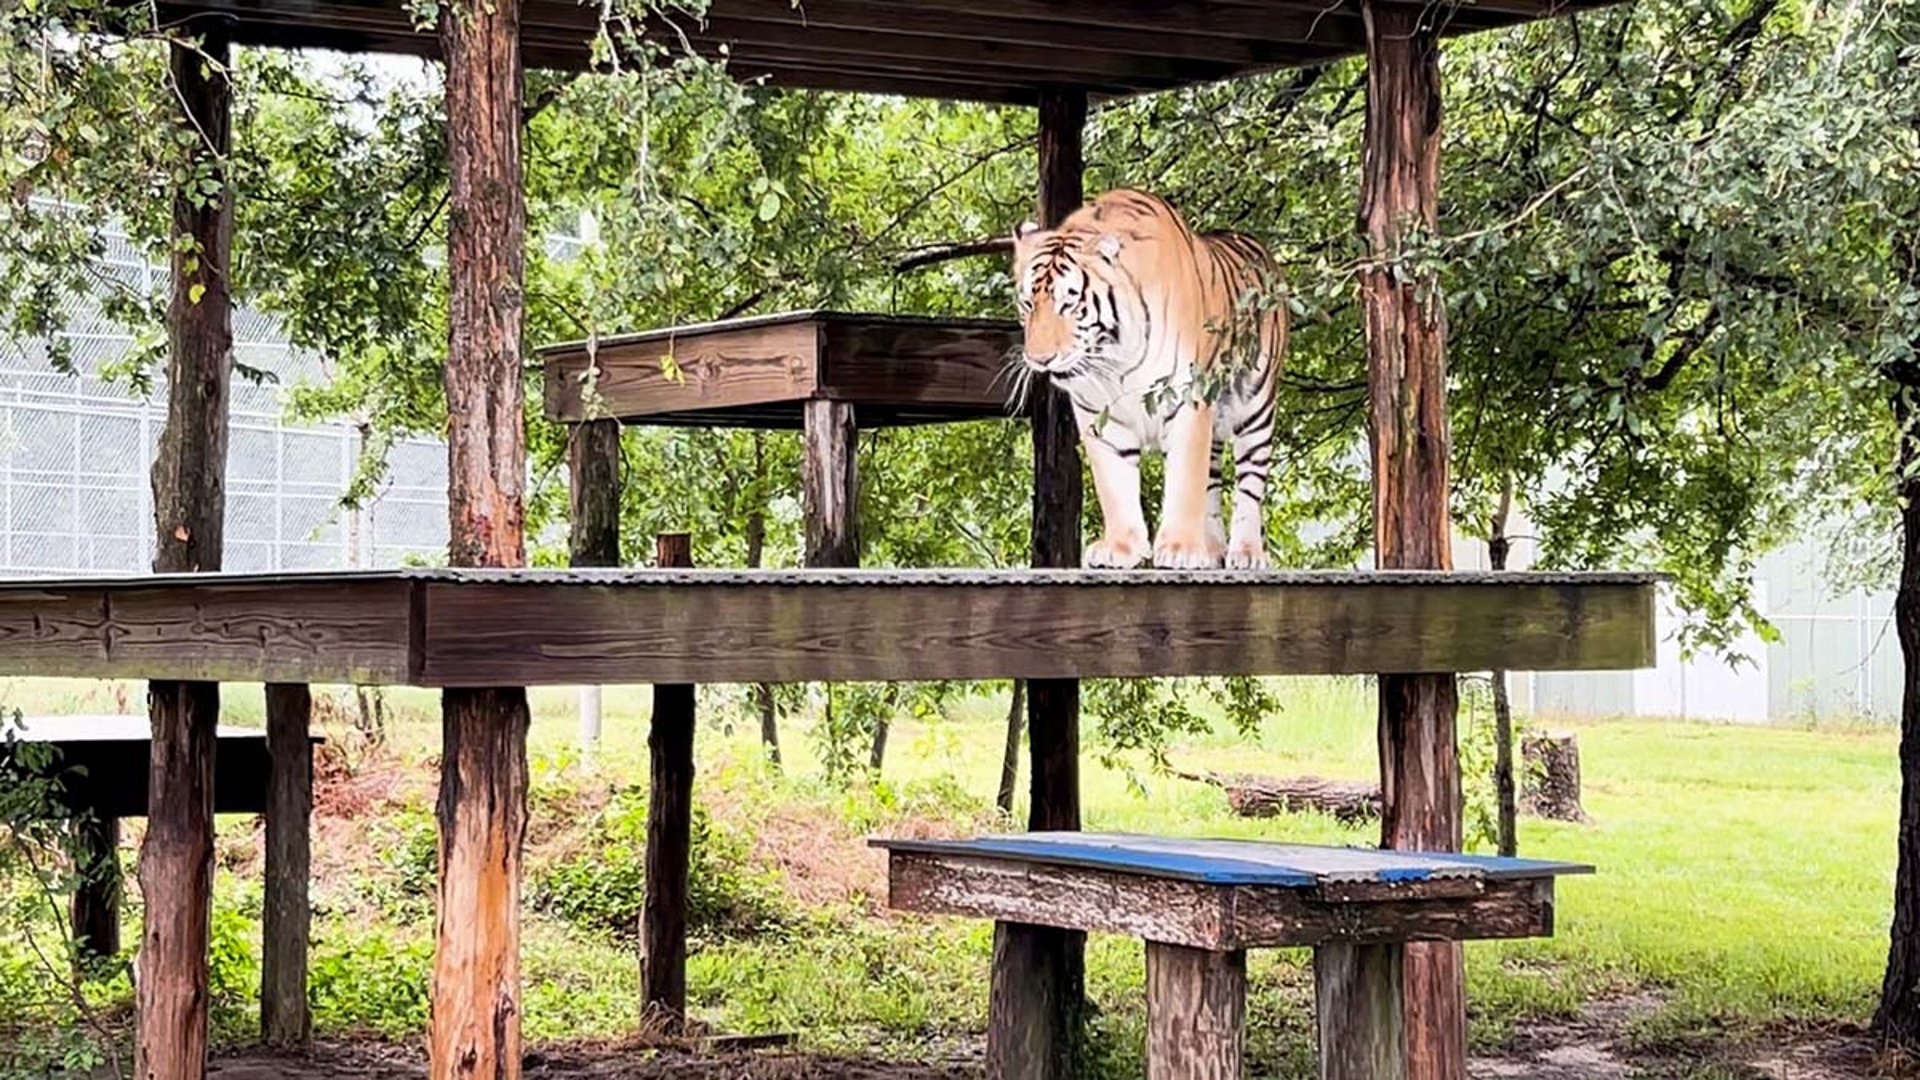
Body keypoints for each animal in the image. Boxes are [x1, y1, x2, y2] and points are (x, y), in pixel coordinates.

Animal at [1010, 188, 1288, 570]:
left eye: (1070, 304)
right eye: (1027, 304)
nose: (1039, 359)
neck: (1115, 359)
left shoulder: (1189, 400)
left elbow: (1185, 480)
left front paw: (1180, 548)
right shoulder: (1097, 414)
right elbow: (1114, 482)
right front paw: (1120, 547)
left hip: (1256, 409)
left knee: (1249, 484)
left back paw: (1246, 553)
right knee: (1212, 481)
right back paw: (1211, 549)